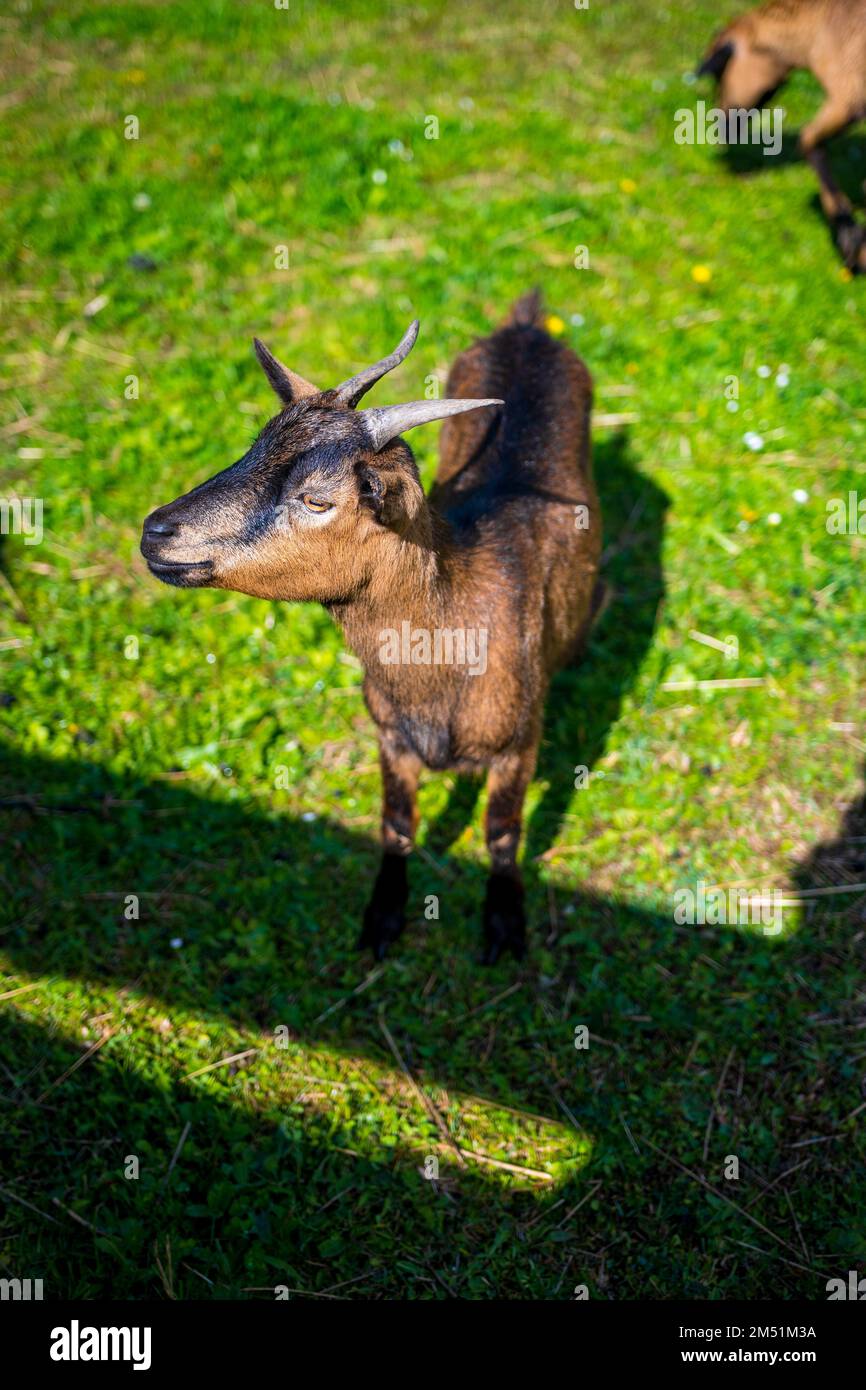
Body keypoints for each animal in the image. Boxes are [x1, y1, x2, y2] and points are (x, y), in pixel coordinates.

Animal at [140, 292, 601, 962]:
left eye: (316, 499)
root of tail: (529, 323)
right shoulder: (390, 735)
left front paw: (503, 924)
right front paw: (383, 916)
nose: (155, 531)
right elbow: (397, 826)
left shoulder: (519, 745)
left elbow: (501, 834)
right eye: (252, 450)